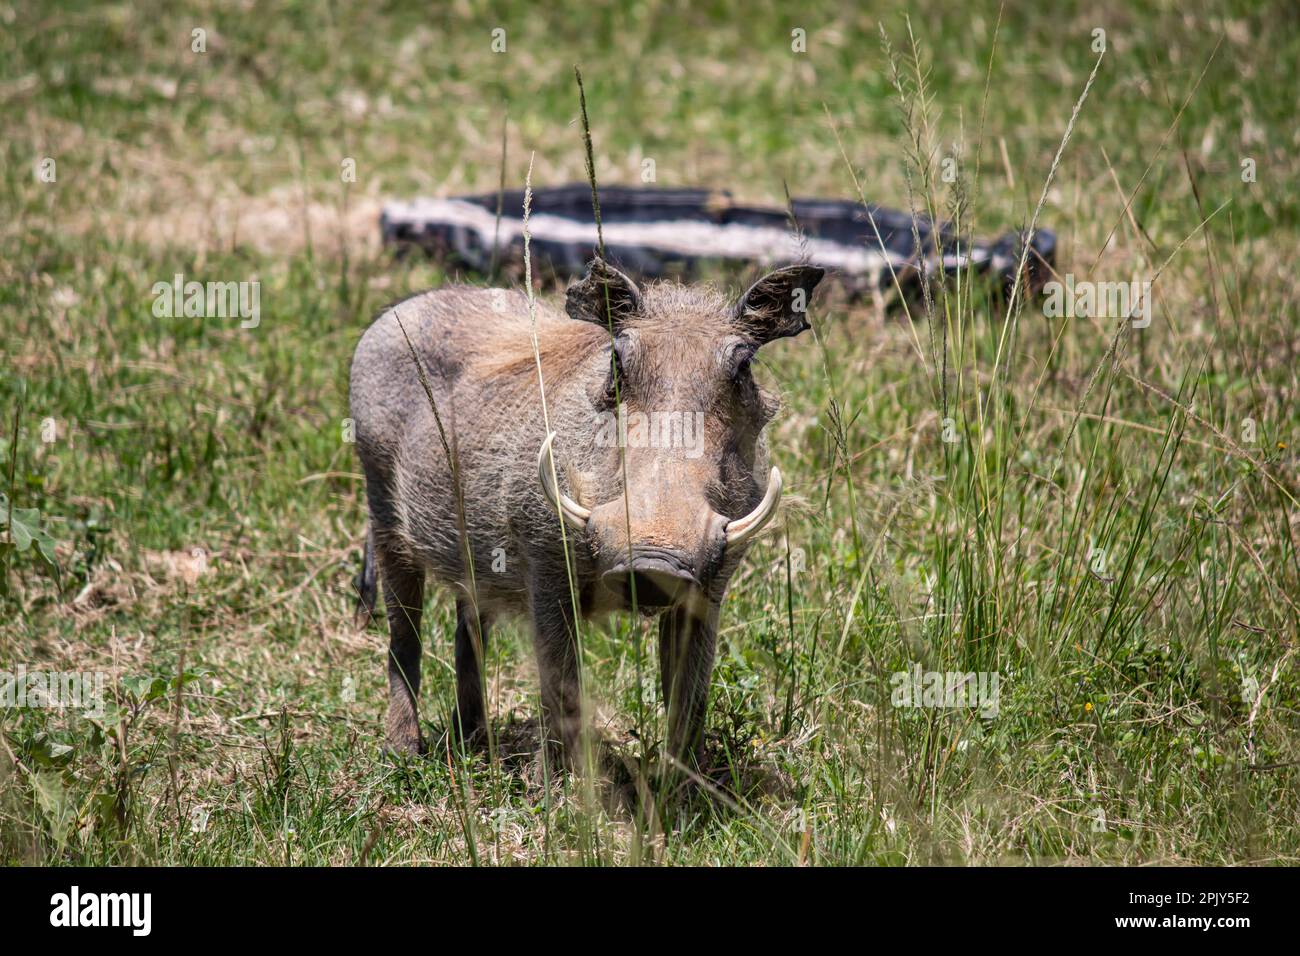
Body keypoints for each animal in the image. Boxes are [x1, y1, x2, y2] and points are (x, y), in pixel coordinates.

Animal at [349, 257, 823, 768]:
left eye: (743, 366)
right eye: (618, 362)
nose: (653, 562)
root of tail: (399, 309)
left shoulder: (708, 585)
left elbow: (688, 697)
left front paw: (685, 784)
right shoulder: (545, 566)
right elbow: (562, 687)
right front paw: (563, 785)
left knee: (468, 628)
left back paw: (471, 738)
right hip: (383, 510)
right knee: (404, 636)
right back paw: (402, 752)